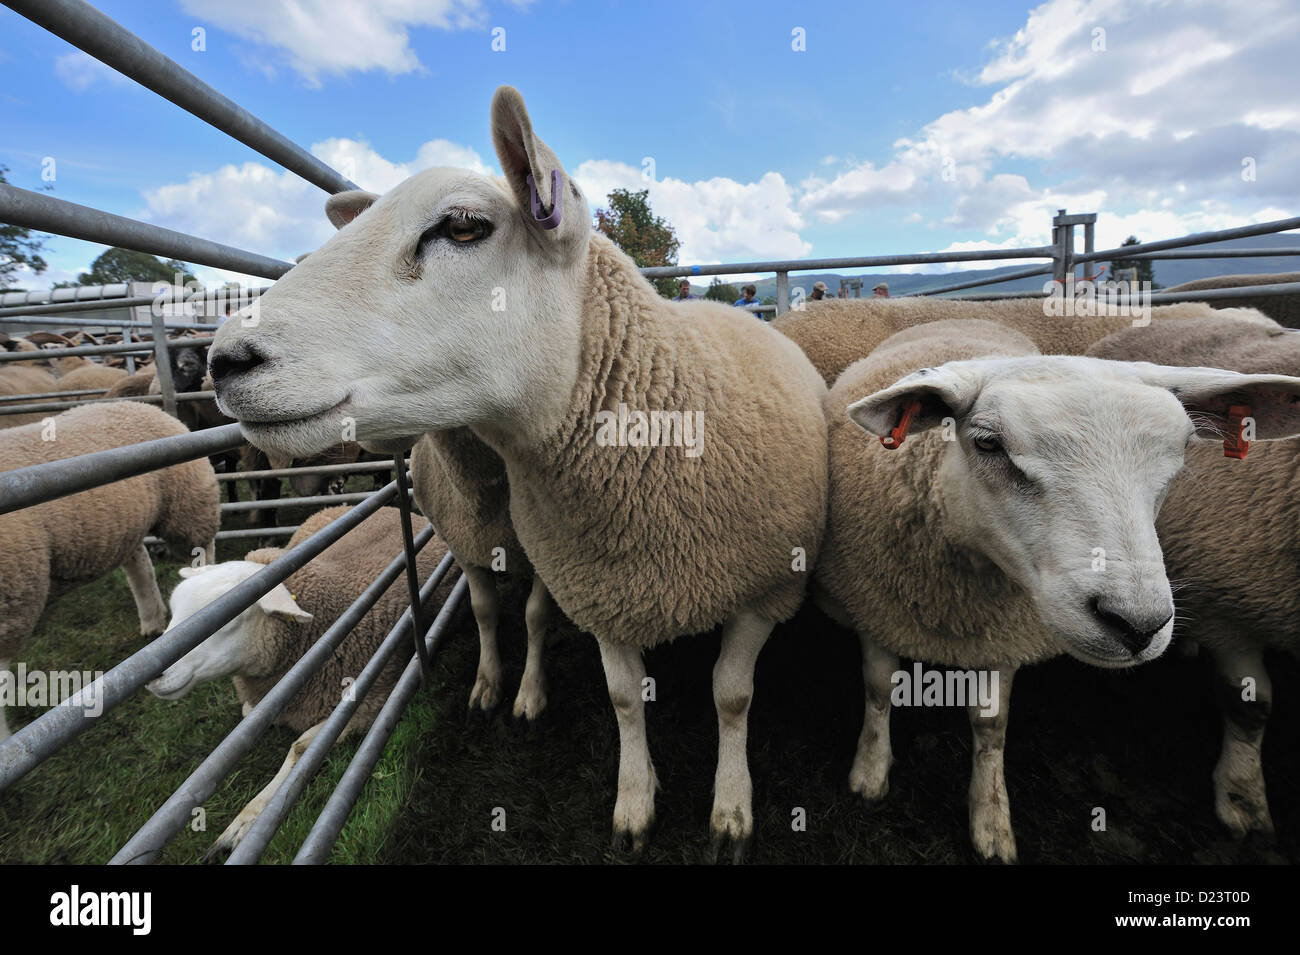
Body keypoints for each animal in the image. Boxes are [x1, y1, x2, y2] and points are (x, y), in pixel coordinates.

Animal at [0, 401, 220, 741]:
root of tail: (146, 406)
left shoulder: (13, 602)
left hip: (188, 505)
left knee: (203, 547)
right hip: (129, 523)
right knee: (140, 562)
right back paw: (152, 620)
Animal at [145, 504, 453, 855]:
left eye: (230, 621)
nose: (154, 674)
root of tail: (390, 508)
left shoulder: (366, 702)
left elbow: (301, 747)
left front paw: (248, 818)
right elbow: (250, 717)